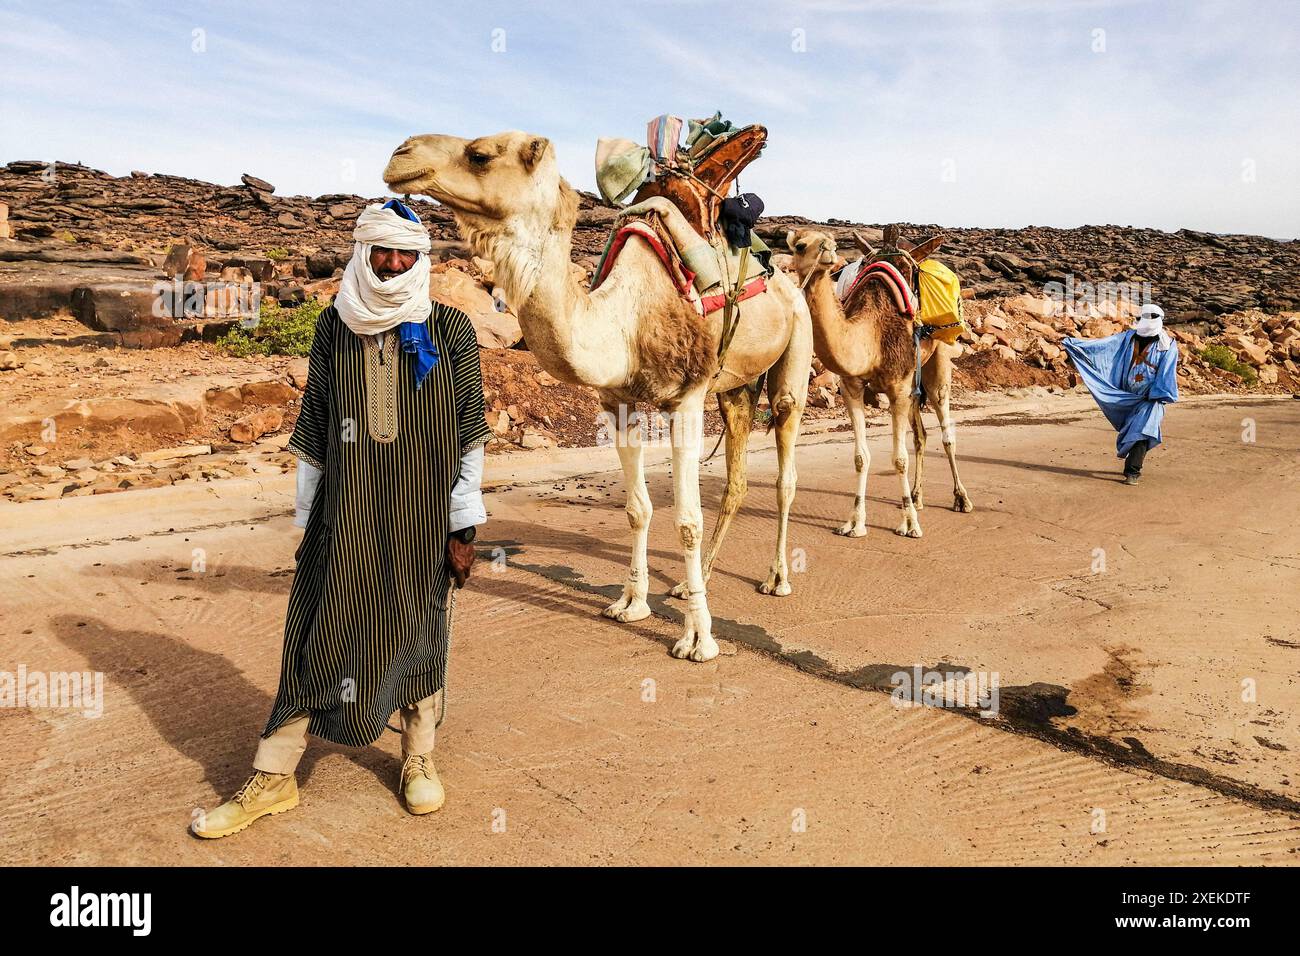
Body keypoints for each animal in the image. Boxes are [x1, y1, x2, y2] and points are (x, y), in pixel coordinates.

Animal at [383, 131, 813, 663]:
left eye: (479, 154)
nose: (400, 155)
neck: (626, 317)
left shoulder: (687, 399)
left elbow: (686, 520)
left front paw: (698, 638)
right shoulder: (617, 402)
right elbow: (637, 509)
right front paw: (631, 603)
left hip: (794, 347)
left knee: (785, 469)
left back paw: (776, 578)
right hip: (732, 388)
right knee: (736, 479)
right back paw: (696, 581)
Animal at [785, 228, 973, 539]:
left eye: (832, 242)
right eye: (800, 245)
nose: (829, 252)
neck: (870, 334)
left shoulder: (897, 386)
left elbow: (899, 458)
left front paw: (910, 524)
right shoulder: (852, 386)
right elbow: (861, 457)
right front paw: (854, 522)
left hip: (937, 360)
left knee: (946, 429)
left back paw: (961, 499)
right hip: (912, 381)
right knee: (921, 435)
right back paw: (916, 496)